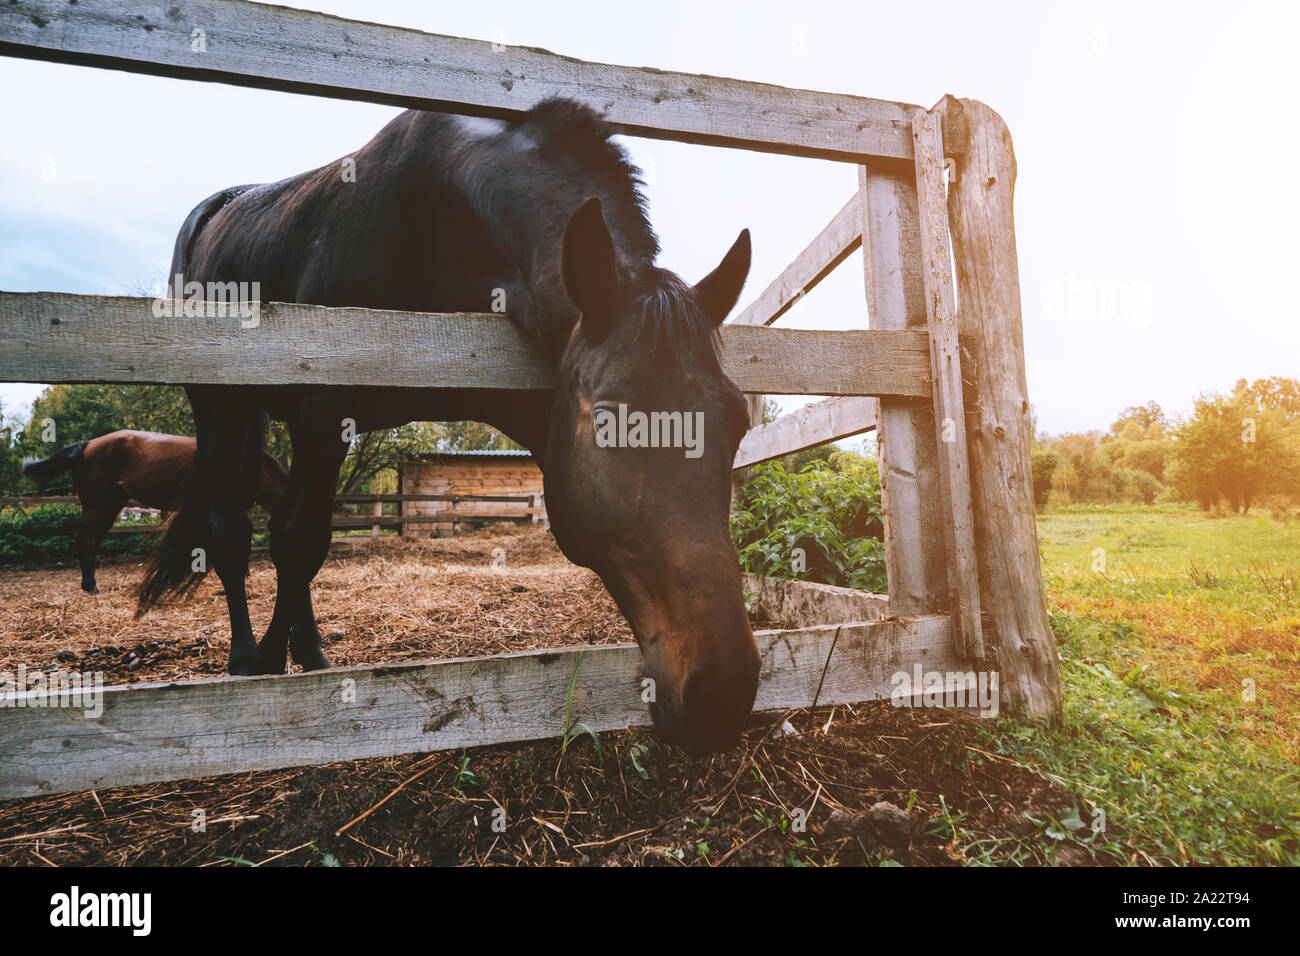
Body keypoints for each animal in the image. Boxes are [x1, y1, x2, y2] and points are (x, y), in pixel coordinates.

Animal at [22, 430, 287, 594]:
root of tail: (87, 445)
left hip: (110, 506)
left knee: (93, 541)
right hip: (98, 505)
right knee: (86, 541)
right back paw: (90, 585)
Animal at [137, 98, 759, 755]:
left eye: (740, 421)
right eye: (612, 419)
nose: (723, 689)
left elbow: (301, 538)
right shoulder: (322, 404)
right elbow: (296, 539)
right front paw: (267, 671)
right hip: (218, 408)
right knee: (230, 535)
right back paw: (243, 659)